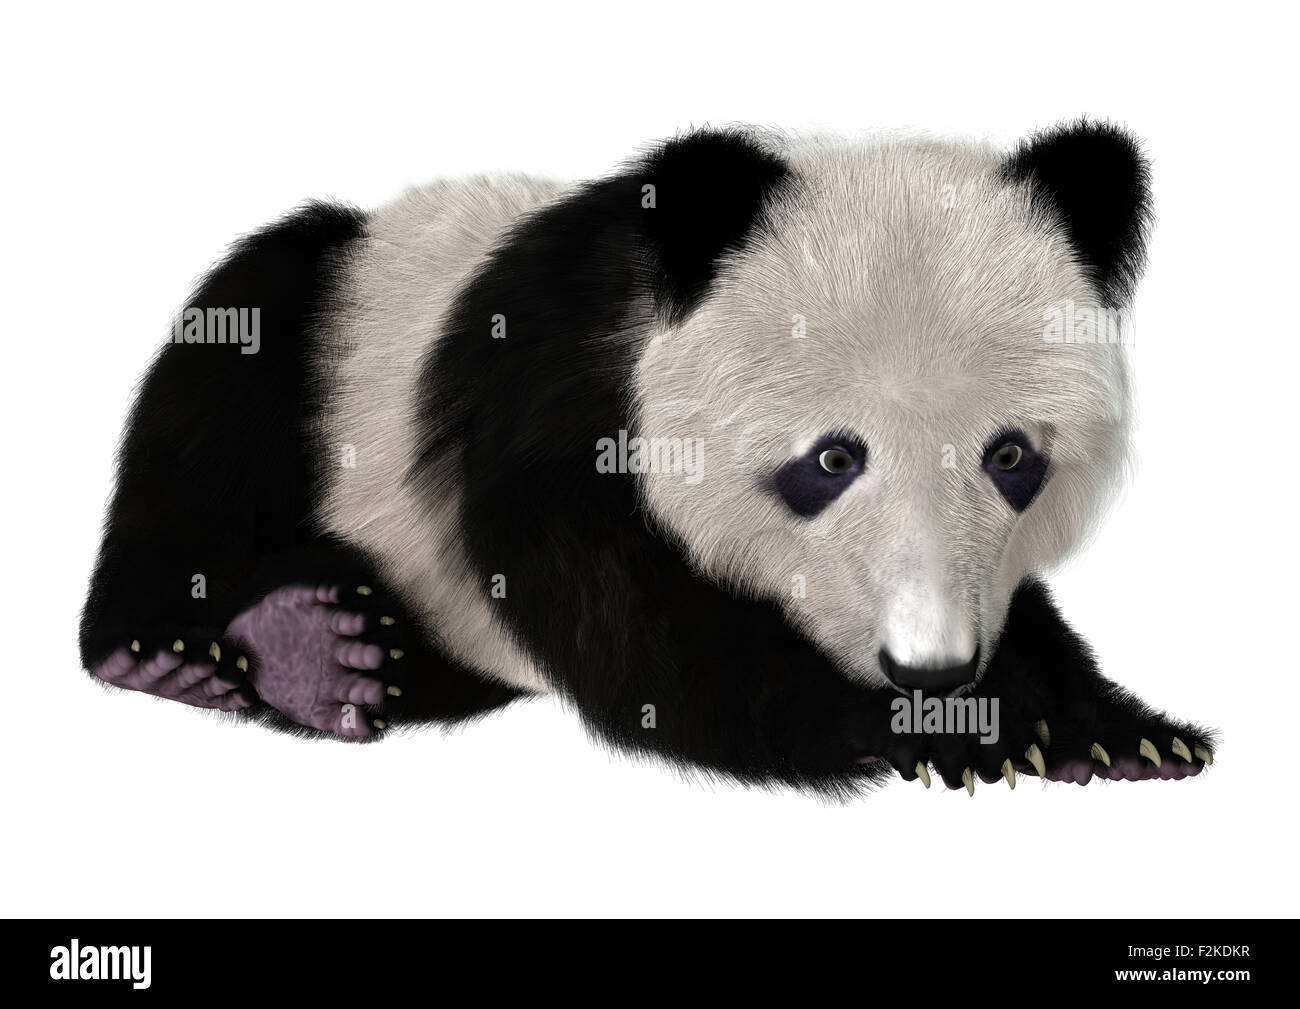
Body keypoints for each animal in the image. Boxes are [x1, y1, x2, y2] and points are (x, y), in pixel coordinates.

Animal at [81, 120, 1216, 795]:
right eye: (831, 461)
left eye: (1011, 457)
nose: (927, 665)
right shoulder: (551, 397)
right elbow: (636, 632)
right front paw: (932, 727)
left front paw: (1110, 730)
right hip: (321, 328)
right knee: (219, 387)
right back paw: (210, 650)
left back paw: (330, 656)